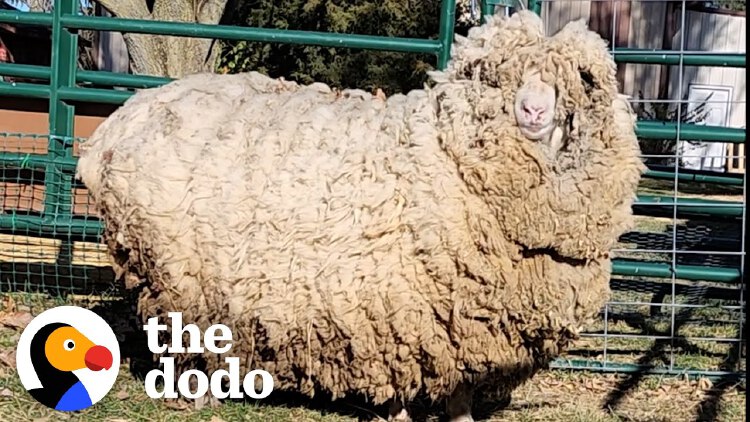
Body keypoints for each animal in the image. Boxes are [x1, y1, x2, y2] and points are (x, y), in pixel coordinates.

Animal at [75, 10, 645, 422]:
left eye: (574, 82)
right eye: (498, 78)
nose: (532, 112)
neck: (448, 155)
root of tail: (116, 126)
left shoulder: (457, 323)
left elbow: (457, 385)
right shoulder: (397, 309)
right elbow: (399, 375)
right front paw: (397, 414)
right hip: (172, 274)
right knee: (181, 334)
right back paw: (195, 391)